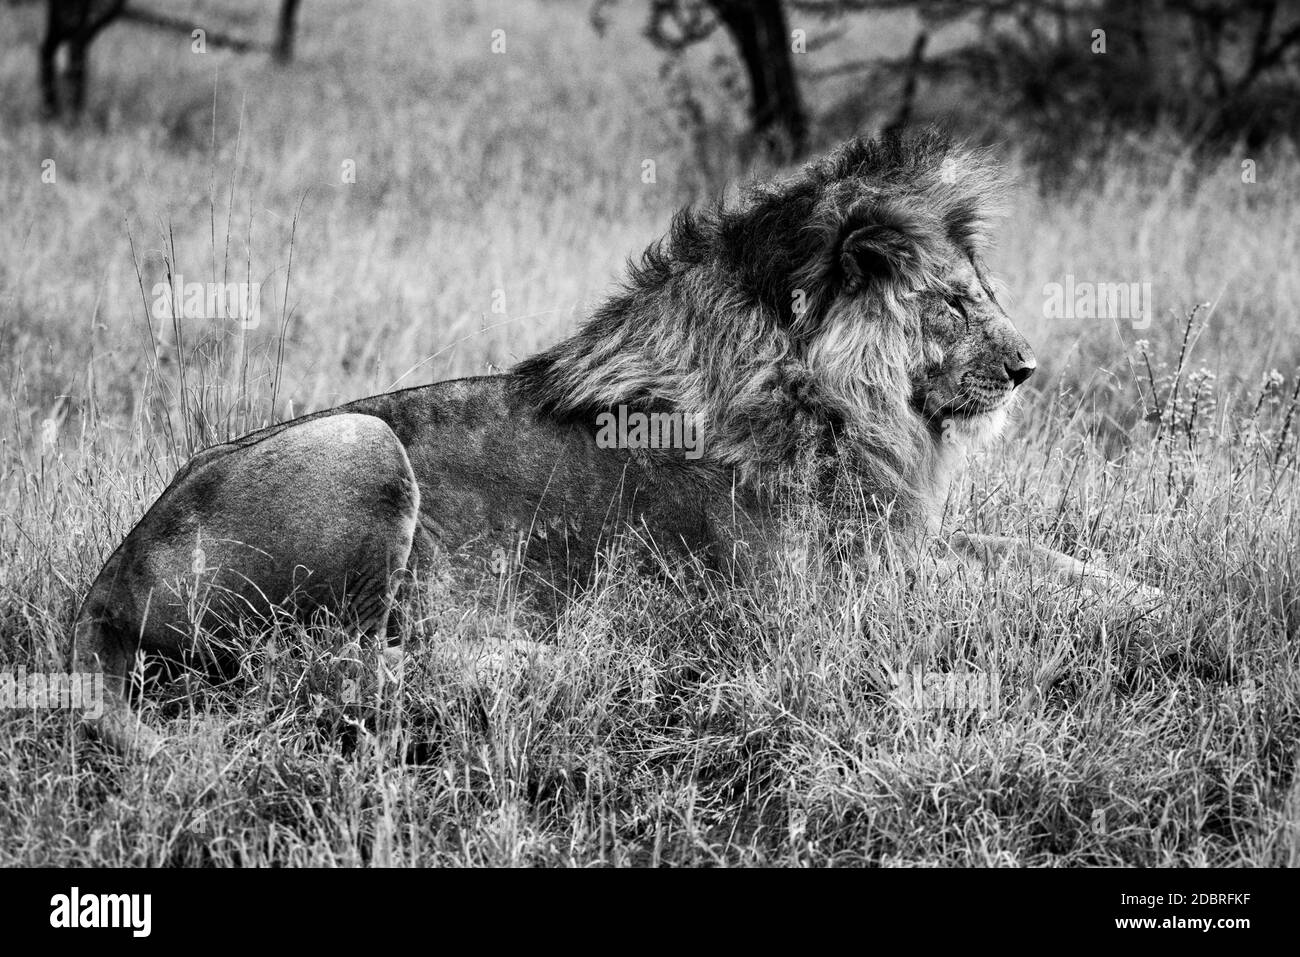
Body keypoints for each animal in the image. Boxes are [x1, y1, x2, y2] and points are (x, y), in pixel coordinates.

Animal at [72, 131, 1157, 755]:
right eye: (950, 302)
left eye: (984, 292)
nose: (1026, 368)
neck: (850, 409)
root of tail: (106, 586)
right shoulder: (807, 604)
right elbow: (981, 585)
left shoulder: (892, 537)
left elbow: (1024, 552)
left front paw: (1147, 591)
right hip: (361, 441)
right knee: (315, 666)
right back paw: (545, 661)